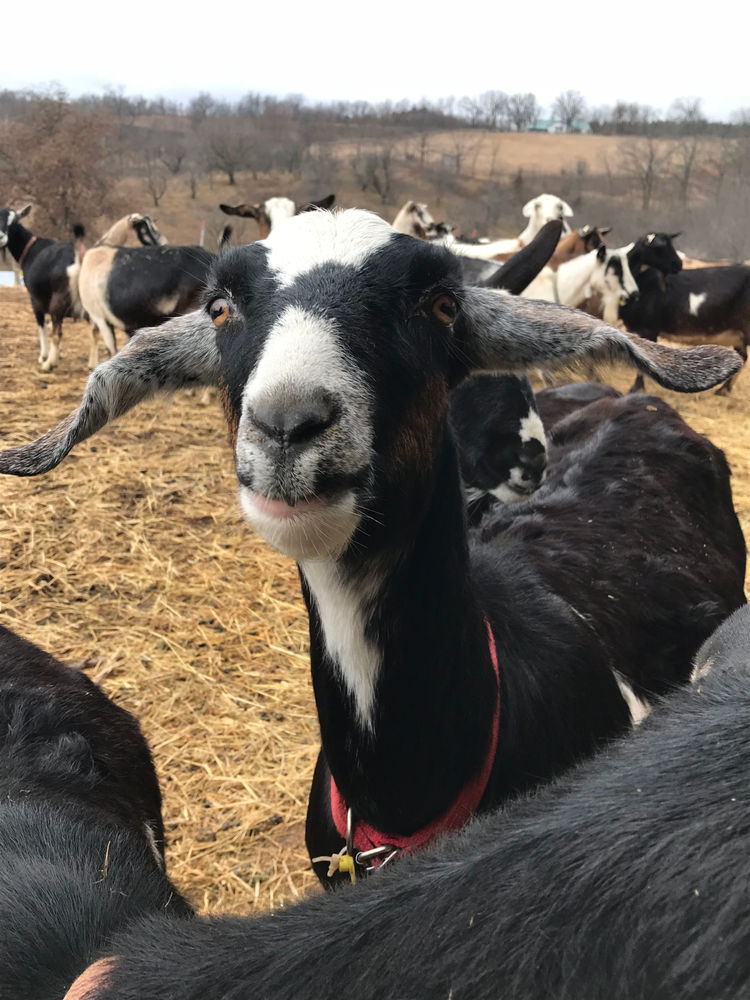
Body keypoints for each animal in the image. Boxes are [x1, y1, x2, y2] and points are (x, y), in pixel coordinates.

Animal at [0, 206, 163, 372]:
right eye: (145, 230)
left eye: (13, 221)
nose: (1, 237)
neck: (30, 249)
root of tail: (80, 257)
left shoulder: (35, 300)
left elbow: (44, 327)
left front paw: (44, 356)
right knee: (93, 330)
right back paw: (92, 362)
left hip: (60, 299)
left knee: (58, 331)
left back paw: (49, 364)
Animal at [622, 232, 750, 394]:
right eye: (660, 247)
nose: (679, 264)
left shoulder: (649, 329)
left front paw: (637, 388)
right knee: (742, 356)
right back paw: (724, 390)